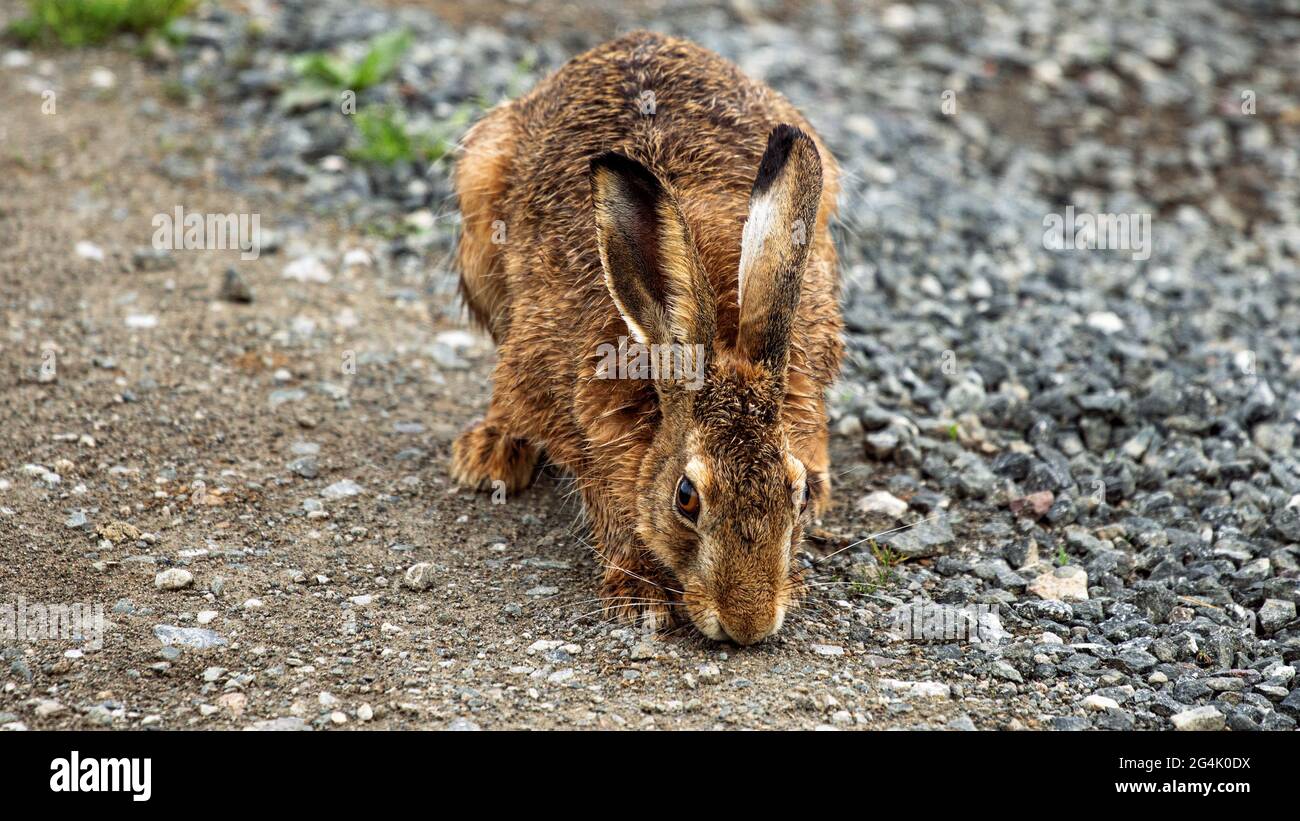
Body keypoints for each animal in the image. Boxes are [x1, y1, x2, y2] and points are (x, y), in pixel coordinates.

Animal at [451, 31, 842, 644]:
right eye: (686, 499)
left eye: (793, 493)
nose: (748, 625)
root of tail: (631, 40)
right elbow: (610, 502)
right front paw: (640, 595)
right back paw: (489, 453)